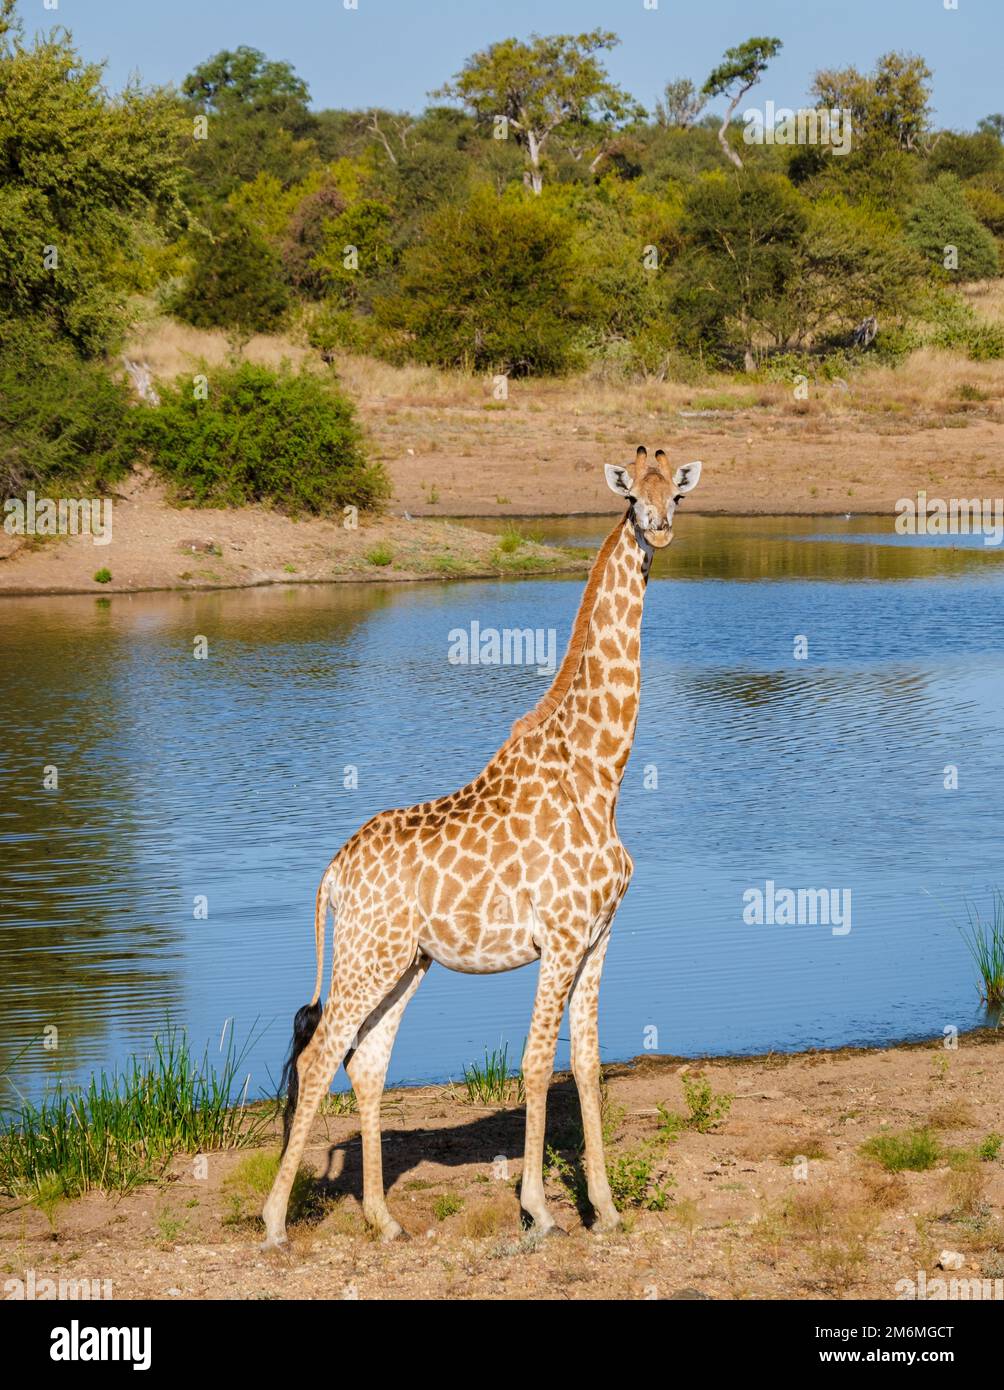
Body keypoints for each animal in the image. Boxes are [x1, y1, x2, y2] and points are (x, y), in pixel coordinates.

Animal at [262, 447, 703, 1247]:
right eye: (632, 494)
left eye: (676, 493)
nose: (659, 527)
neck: (602, 773)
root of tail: (332, 875)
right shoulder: (558, 938)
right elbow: (532, 1065)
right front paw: (539, 1210)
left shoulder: (599, 937)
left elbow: (585, 1066)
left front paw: (607, 1210)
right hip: (367, 953)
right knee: (319, 1054)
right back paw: (275, 1222)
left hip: (406, 961)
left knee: (366, 1061)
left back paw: (384, 1220)